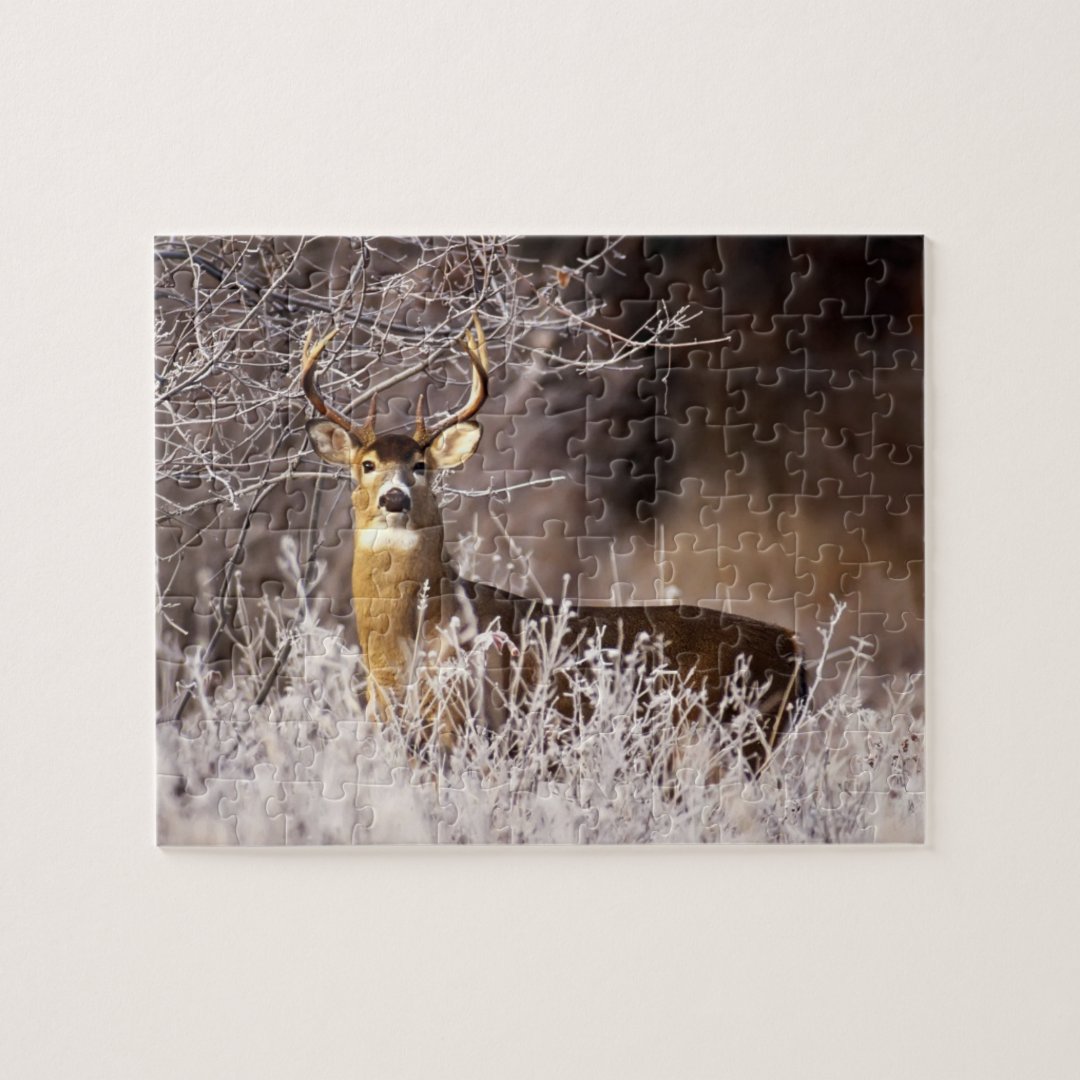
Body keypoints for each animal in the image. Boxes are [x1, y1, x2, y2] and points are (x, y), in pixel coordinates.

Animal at [300, 314, 806, 770]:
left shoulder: (465, 729)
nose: (394, 497)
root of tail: (795, 651)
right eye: (366, 464)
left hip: (728, 740)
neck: (402, 648)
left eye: (420, 465)